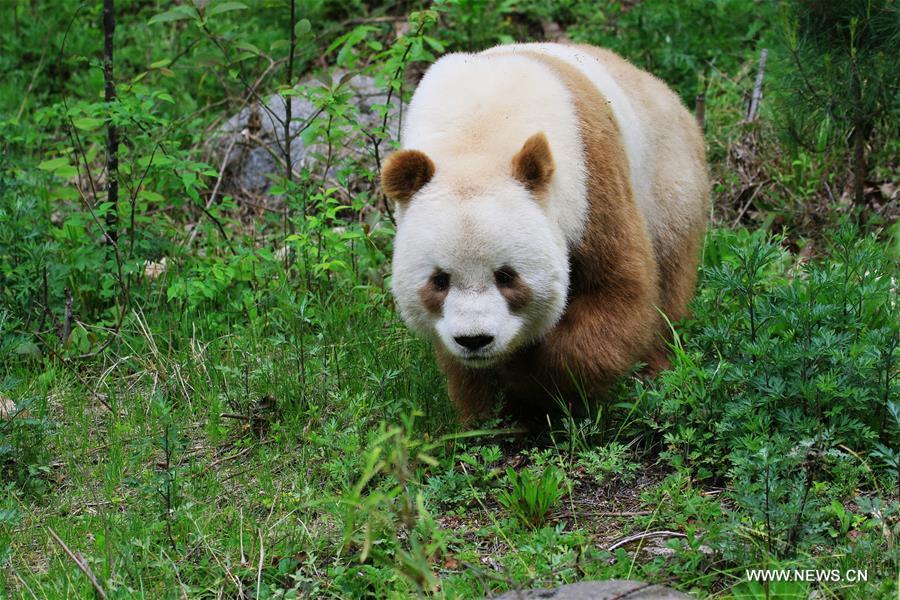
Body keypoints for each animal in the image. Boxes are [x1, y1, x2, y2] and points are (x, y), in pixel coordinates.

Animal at [381, 43, 708, 423]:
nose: (475, 339)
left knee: (668, 283)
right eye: (439, 280)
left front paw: (527, 380)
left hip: (668, 180)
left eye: (507, 276)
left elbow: (618, 291)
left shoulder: (589, 180)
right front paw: (490, 417)